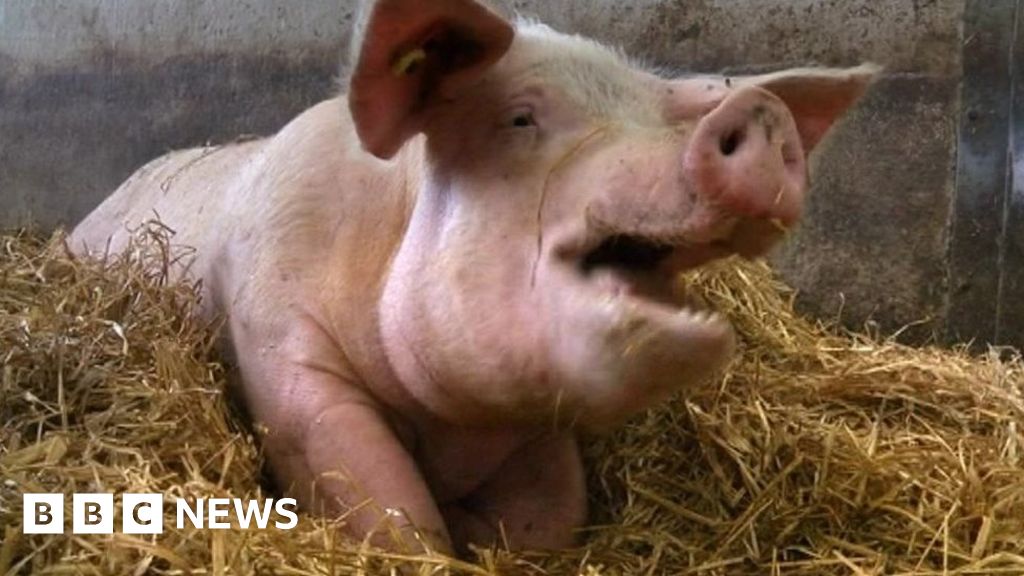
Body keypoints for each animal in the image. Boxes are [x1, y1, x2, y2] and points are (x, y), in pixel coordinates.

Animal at [70, 0, 877, 556]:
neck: (452, 423)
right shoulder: (281, 348)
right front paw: (439, 534)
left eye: (660, 121)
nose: (763, 111)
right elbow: (384, 503)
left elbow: (551, 519)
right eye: (520, 119)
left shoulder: (536, 426)